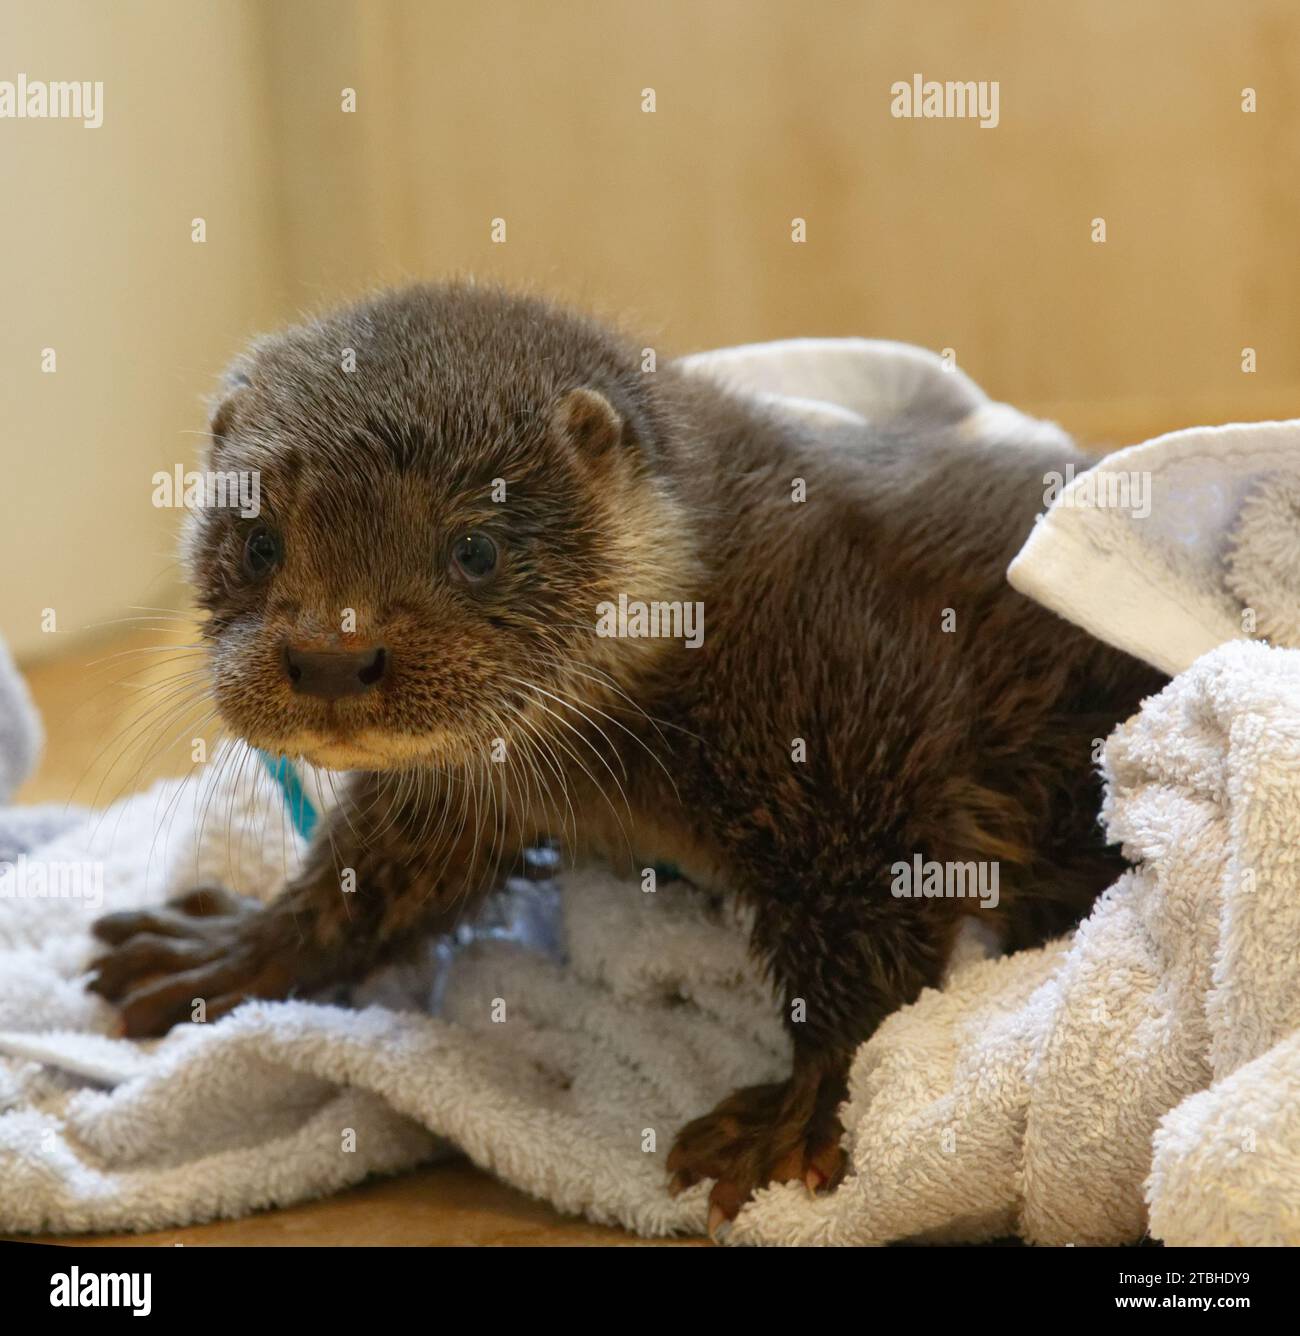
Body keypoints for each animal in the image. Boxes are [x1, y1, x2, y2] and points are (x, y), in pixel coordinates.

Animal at [88, 283, 1163, 1232]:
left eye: (475, 548)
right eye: (259, 541)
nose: (331, 657)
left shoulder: (850, 710)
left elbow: (878, 908)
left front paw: (800, 1108)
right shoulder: (471, 788)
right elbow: (370, 881)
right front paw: (227, 951)